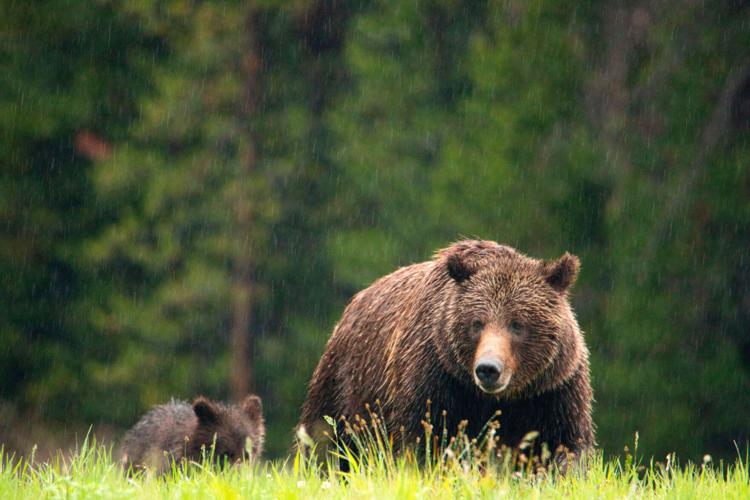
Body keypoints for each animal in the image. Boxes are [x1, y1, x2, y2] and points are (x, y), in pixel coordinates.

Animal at [299, 240, 594, 460]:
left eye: (517, 324)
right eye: (477, 323)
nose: (488, 369)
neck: (500, 398)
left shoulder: (553, 389)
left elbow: (564, 447)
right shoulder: (436, 376)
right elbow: (425, 439)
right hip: (344, 385)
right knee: (325, 442)